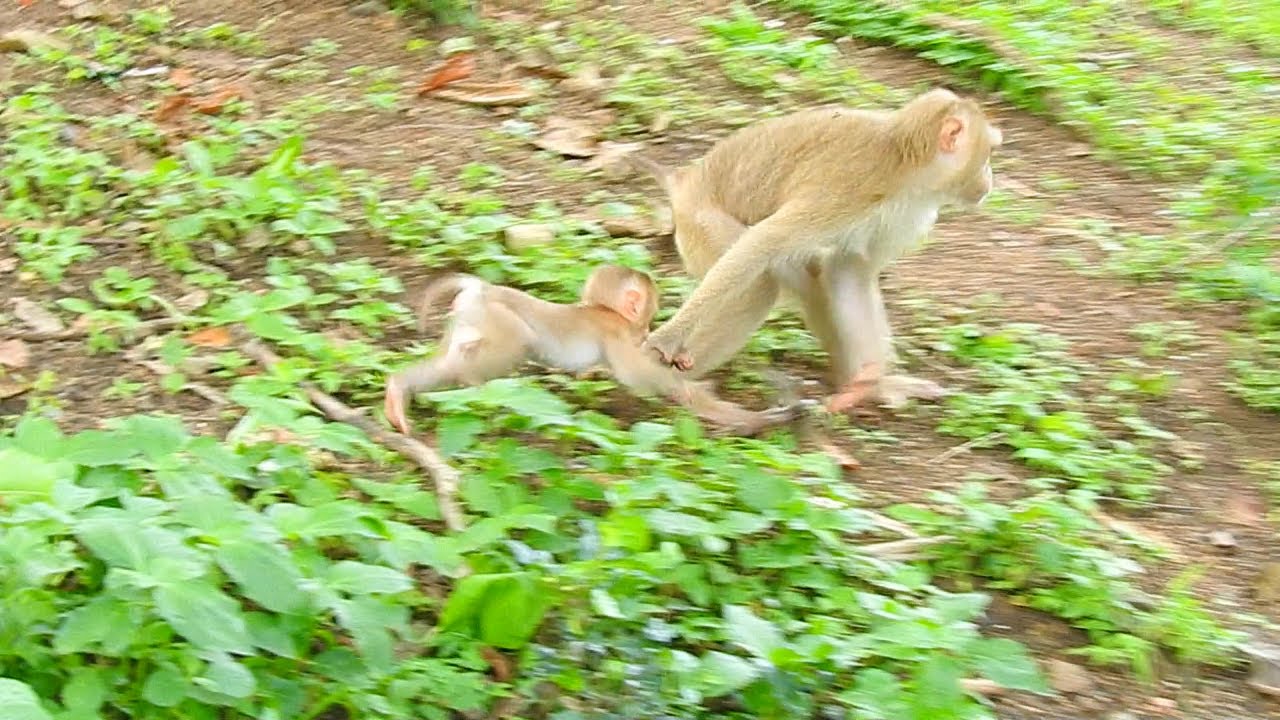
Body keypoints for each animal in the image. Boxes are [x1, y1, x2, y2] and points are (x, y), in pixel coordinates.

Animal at [383, 265, 806, 436]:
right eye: (646, 317)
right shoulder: (615, 334)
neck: (602, 311)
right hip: (498, 320)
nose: (646, 329)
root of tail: (478, 288)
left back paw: (398, 391)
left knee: (447, 361)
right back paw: (472, 385)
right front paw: (741, 415)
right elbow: (642, 378)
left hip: (468, 321)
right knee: (512, 344)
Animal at [630, 88, 1003, 413]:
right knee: (758, 285)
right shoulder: (848, 191)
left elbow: (848, 271)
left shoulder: (905, 214)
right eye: (986, 156)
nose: (988, 181)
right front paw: (665, 340)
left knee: (810, 284)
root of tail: (684, 179)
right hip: (699, 223)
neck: (905, 162)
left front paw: (876, 385)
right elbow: (762, 243)